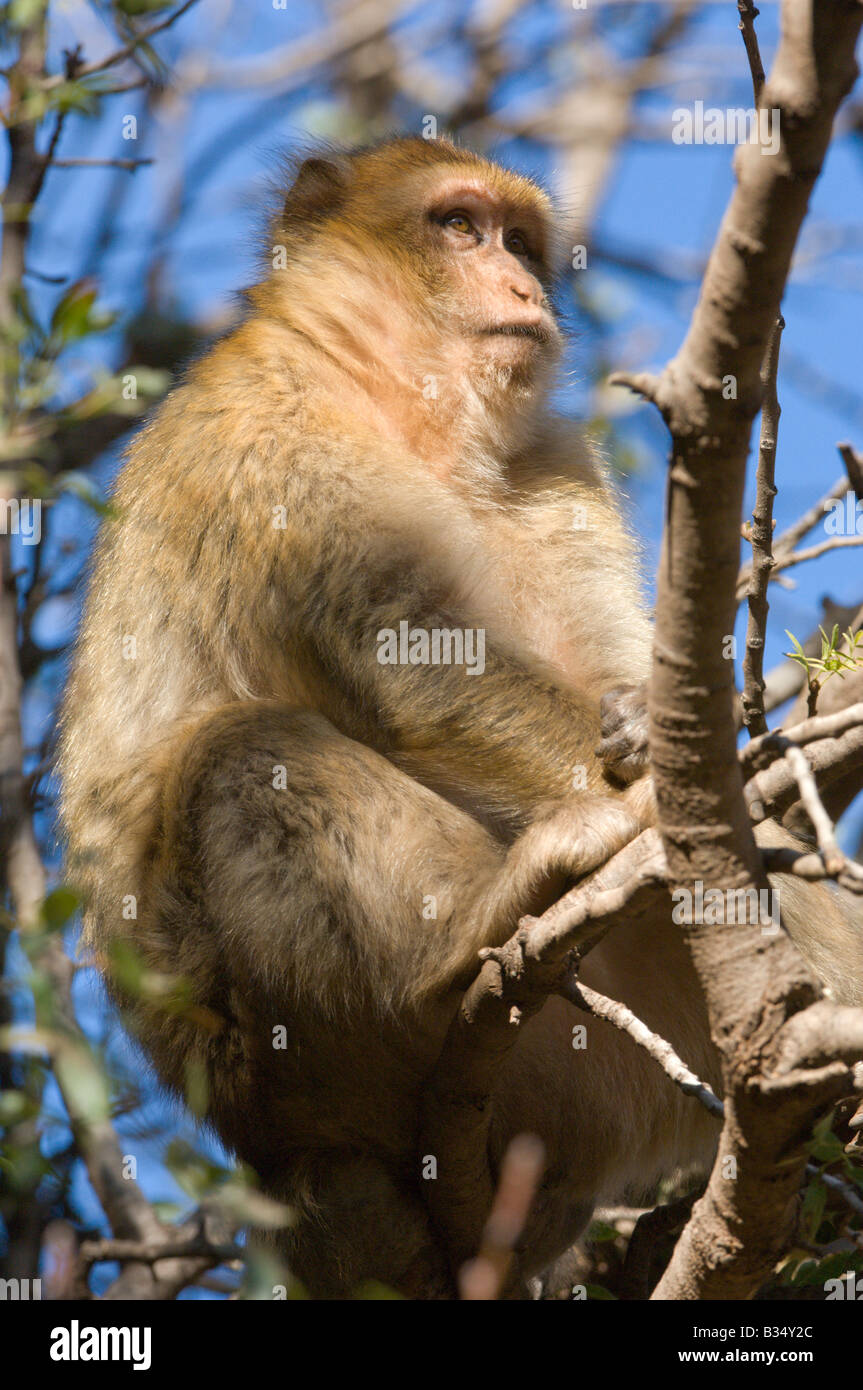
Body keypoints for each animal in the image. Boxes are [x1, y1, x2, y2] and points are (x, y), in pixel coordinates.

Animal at [57, 136, 863, 1299]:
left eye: (520, 240)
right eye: (458, 227)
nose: (523, 285)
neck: (406, 411)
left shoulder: (552, 466)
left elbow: (620, 676)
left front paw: (665, 743)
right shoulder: (268, 432)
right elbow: (410, 662)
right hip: (259, 1057)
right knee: (243, 762)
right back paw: (453, 960)